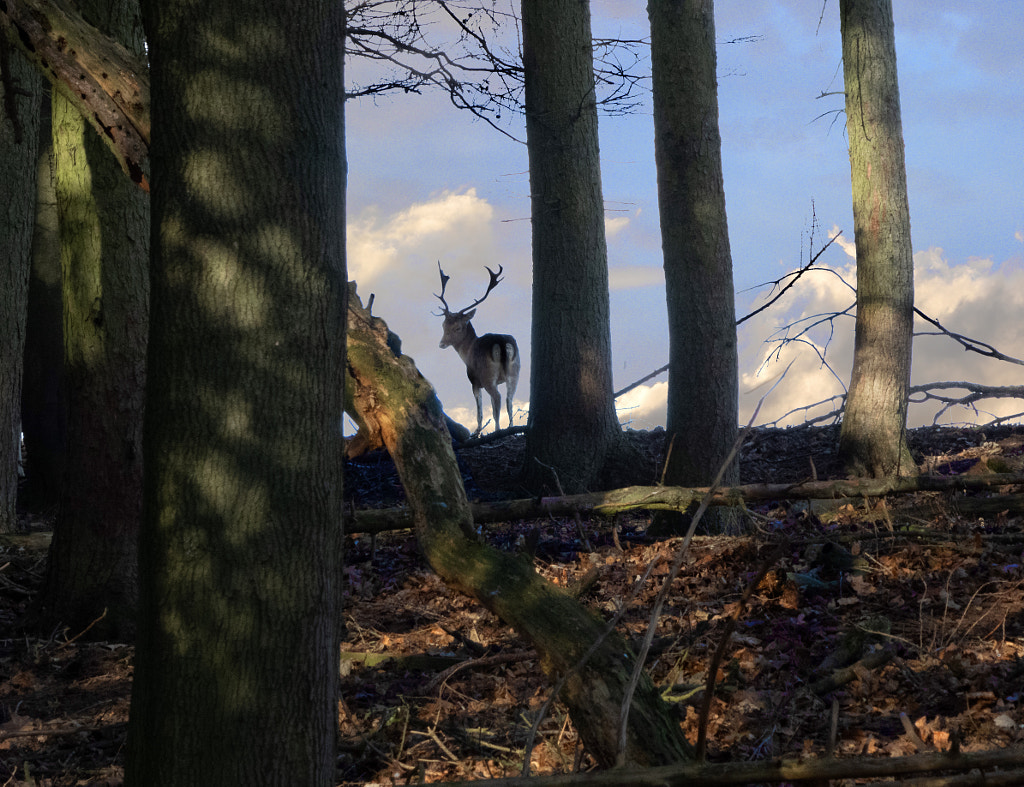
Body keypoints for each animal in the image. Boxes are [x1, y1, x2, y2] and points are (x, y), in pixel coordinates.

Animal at [435, 262, 520, 436]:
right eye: (443, 324)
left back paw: (497, 430)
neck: (466, 353)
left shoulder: (474, 380)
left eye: (458, 327)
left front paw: (477, 432)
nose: (442, 344)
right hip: (515, 371)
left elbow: (479, 410)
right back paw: (510, 428)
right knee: (509, 399)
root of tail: (500, 342)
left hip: (487, 375)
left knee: (498, 397)